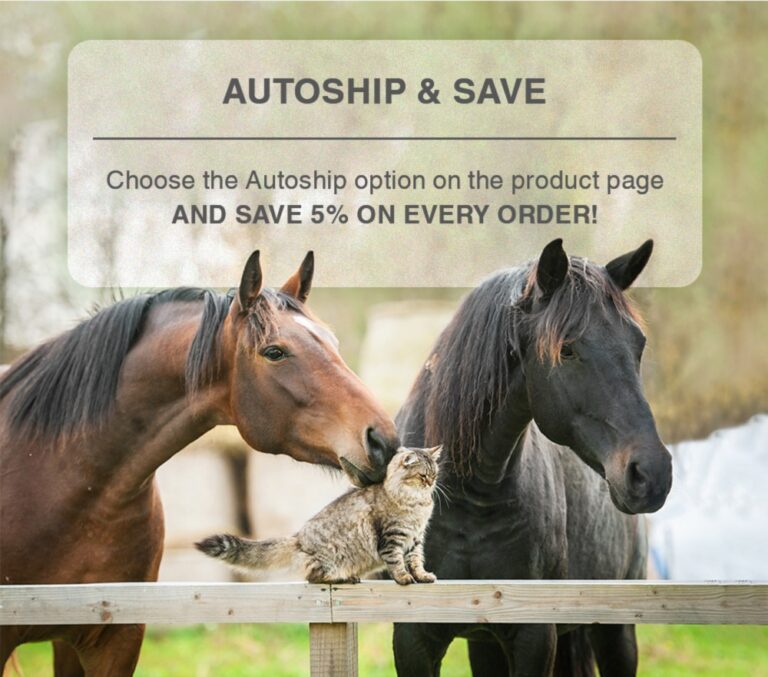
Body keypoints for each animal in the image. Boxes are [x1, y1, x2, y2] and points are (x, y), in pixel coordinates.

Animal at [393, 239, 673, 677]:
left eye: (638, 345)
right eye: (567, 349)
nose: (651, 474)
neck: (470, 497)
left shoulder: (534, 635)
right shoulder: (413, 638)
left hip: (617, 634)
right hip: (486, 643)